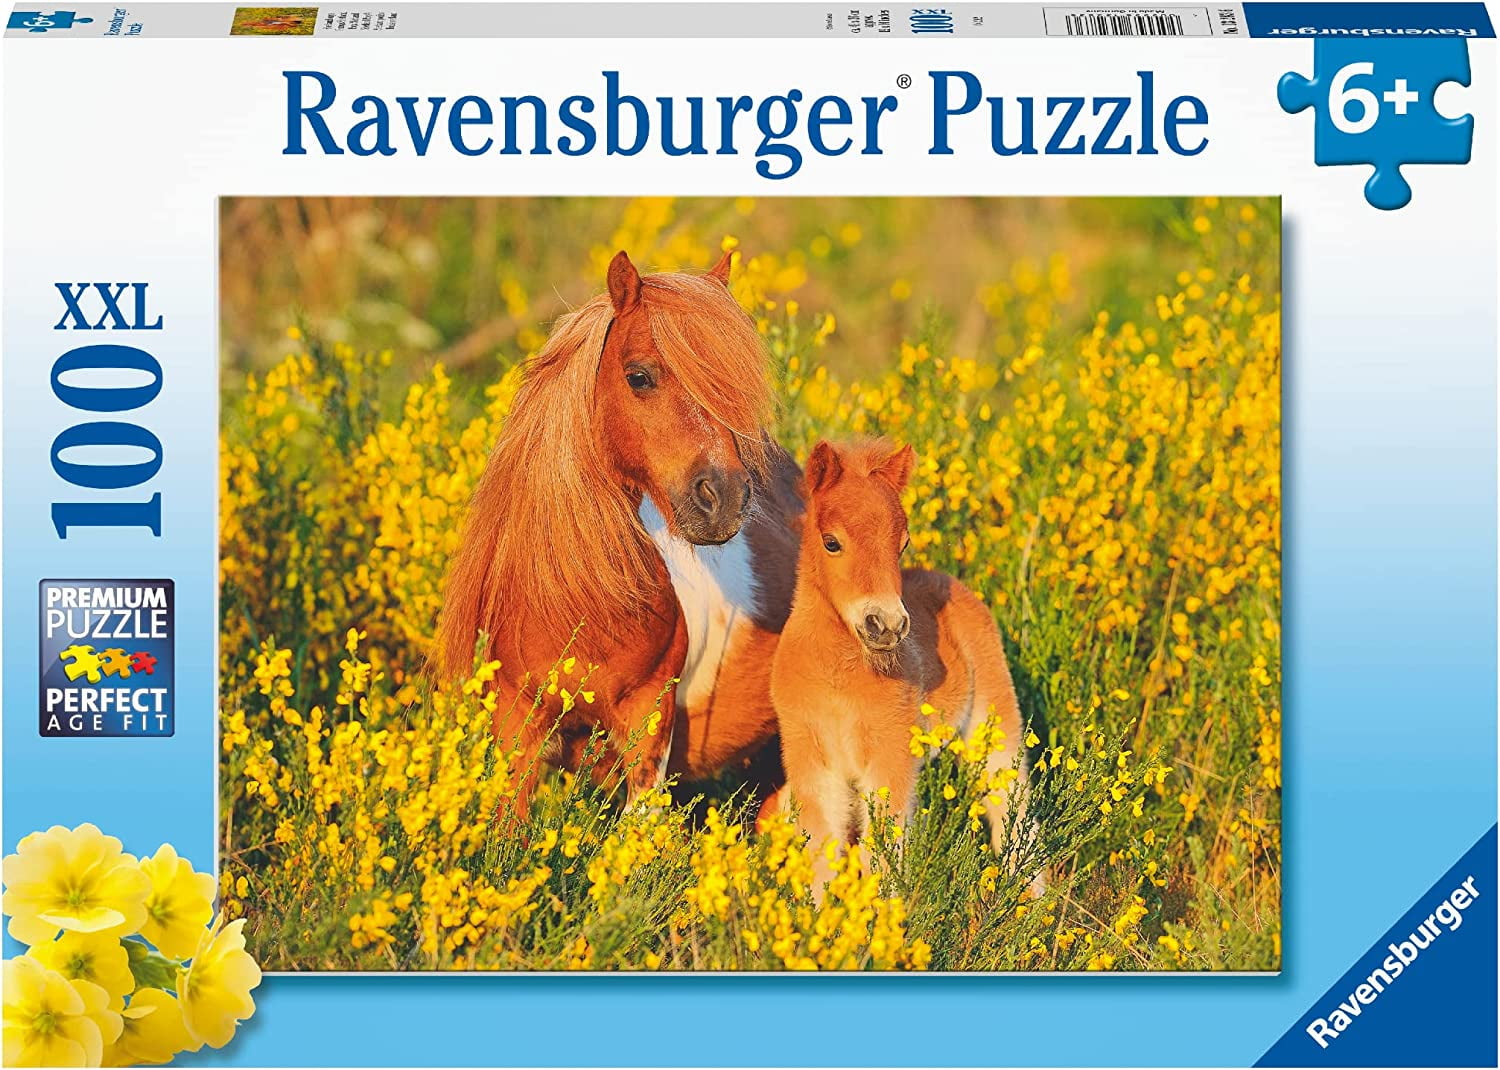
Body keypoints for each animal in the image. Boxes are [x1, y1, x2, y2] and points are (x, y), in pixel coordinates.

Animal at [767, 439, 1033, 890]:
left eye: (902, 544)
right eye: (831, 542)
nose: (886, 625)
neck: (837, 679)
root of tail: (950, 581)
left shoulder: (887, 758)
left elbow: (882, 857)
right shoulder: (813, 763)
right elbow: (822, 852)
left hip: (993, 719)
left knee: (1012, 806)